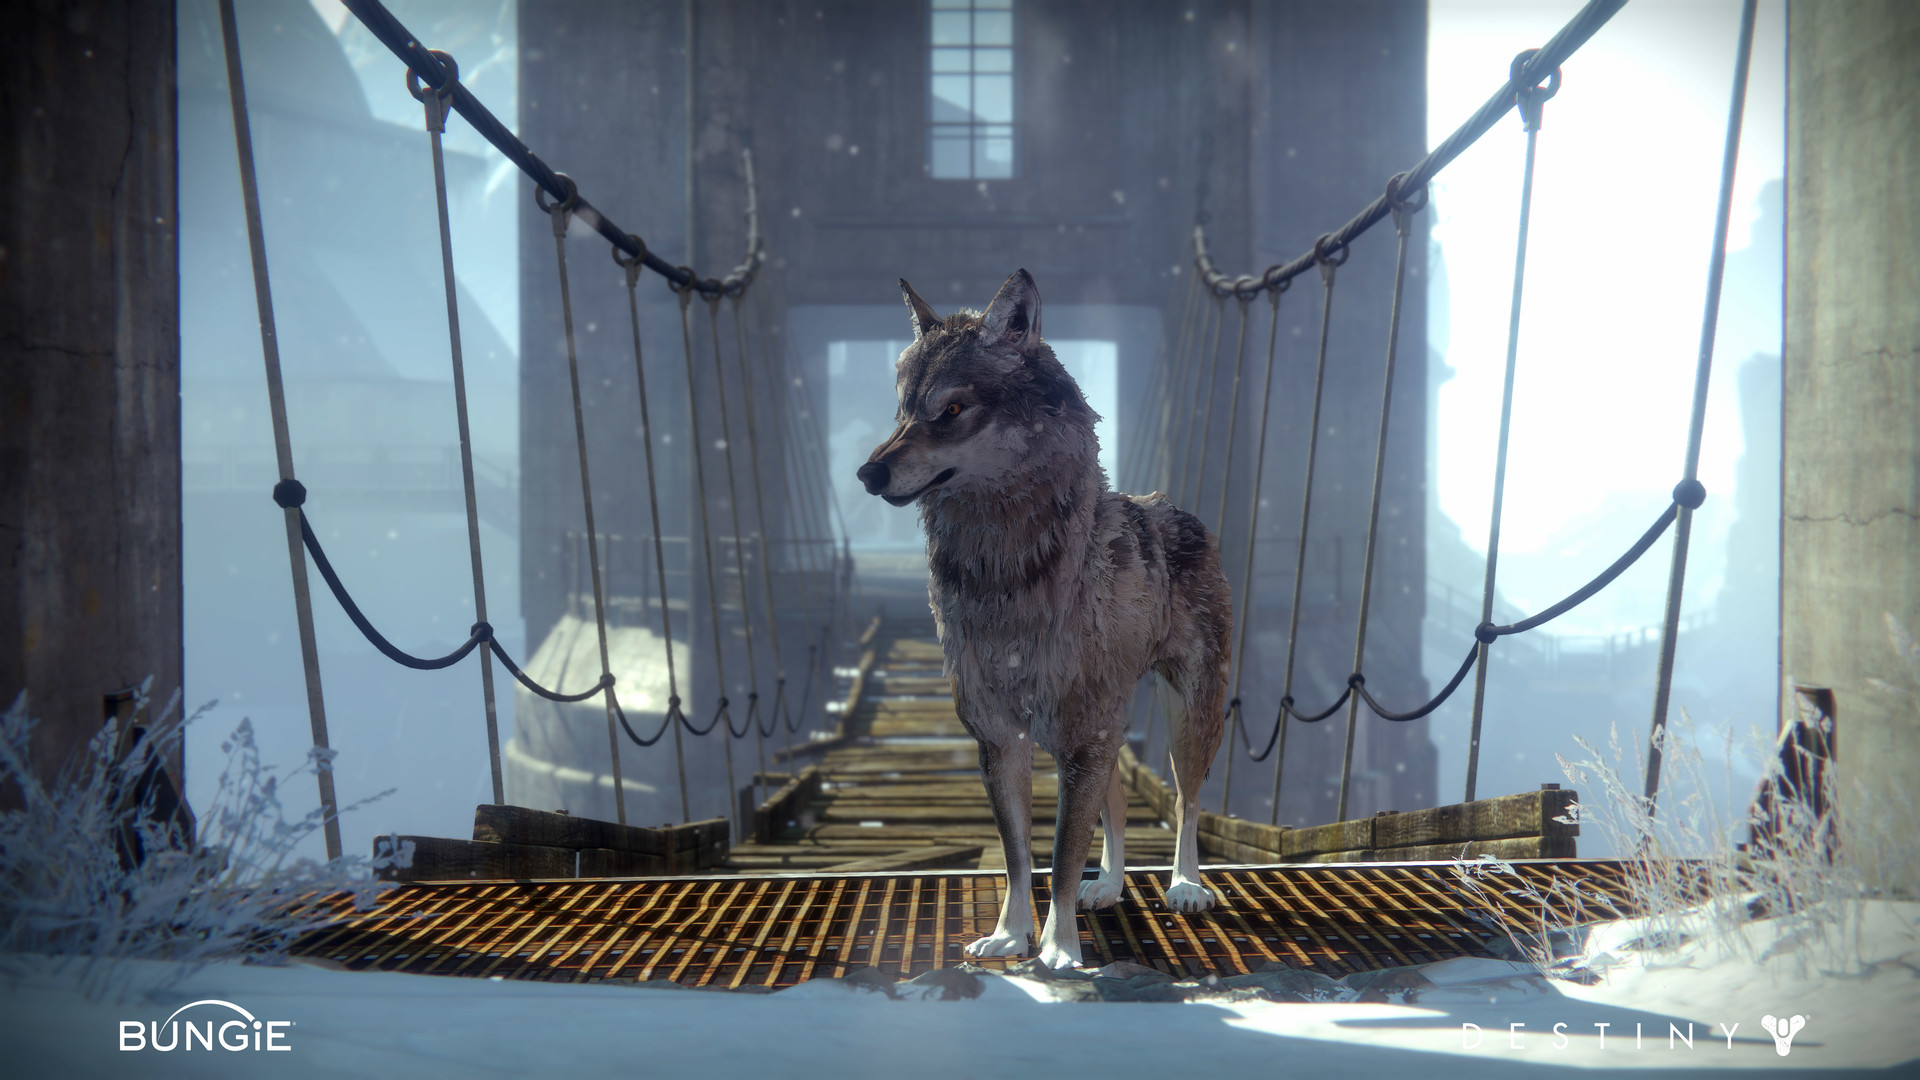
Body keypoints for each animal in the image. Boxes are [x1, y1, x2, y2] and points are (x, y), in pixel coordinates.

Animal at [857, 269, 1233, 969]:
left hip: (1188, 714)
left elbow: (1059, 856)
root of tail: (1172, 506)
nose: (868, 472)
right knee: (1118, 805)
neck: (1007, 575)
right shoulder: (1001, 739)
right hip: (1104, 726)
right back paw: (1108, 887)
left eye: (951, 410)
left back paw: (1186, 886)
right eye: (902, 410)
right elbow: (1017, 856)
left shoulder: (1080, 735)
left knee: (1187, 800)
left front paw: (1058, 953)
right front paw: (1010, 938)